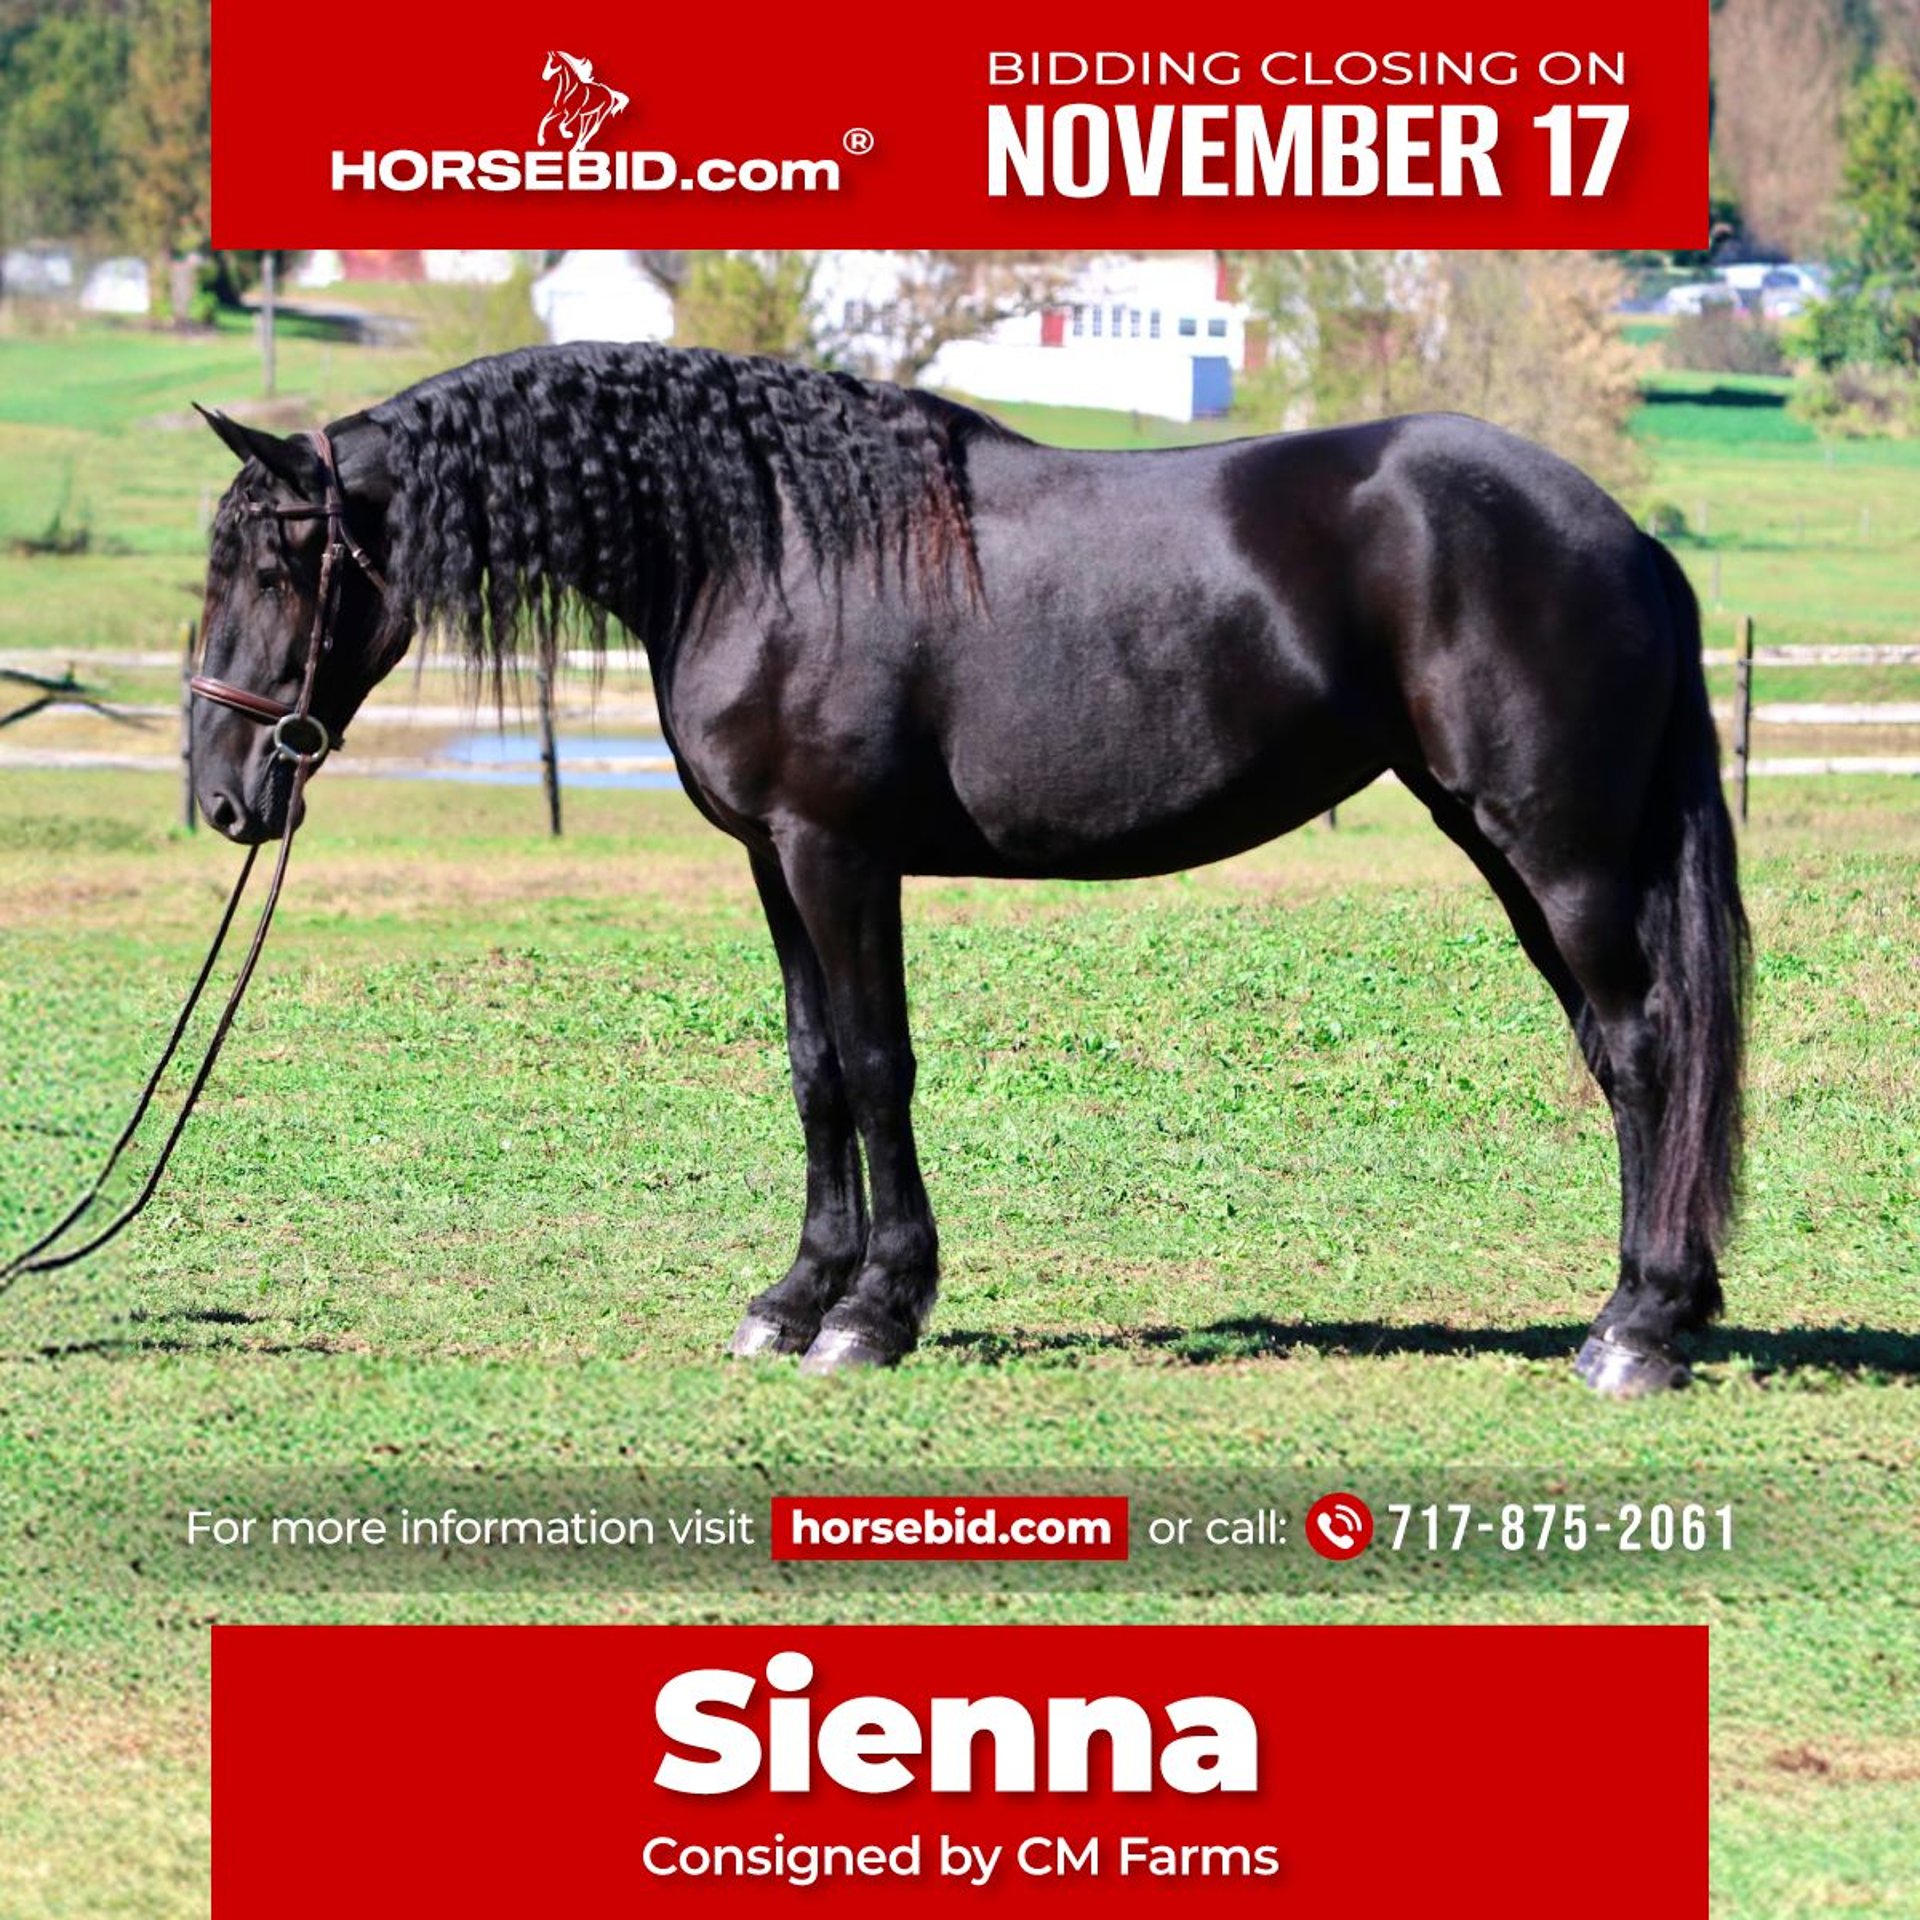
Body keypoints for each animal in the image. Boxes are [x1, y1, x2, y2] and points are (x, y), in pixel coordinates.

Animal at [188, 343, 1747, 1398]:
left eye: (270, 569)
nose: (221, 794)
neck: (767, 543)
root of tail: (1622, 535)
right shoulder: (776, 863)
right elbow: (815, 1068)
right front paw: (793, 1298)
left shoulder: (839, 854)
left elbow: (879, 1066)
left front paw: (875, 1314)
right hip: (1515, 846)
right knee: (1627, 1054)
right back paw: (1659, 1307)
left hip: (1558, 849)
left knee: (1641, 1047)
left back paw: (1636, 1329)